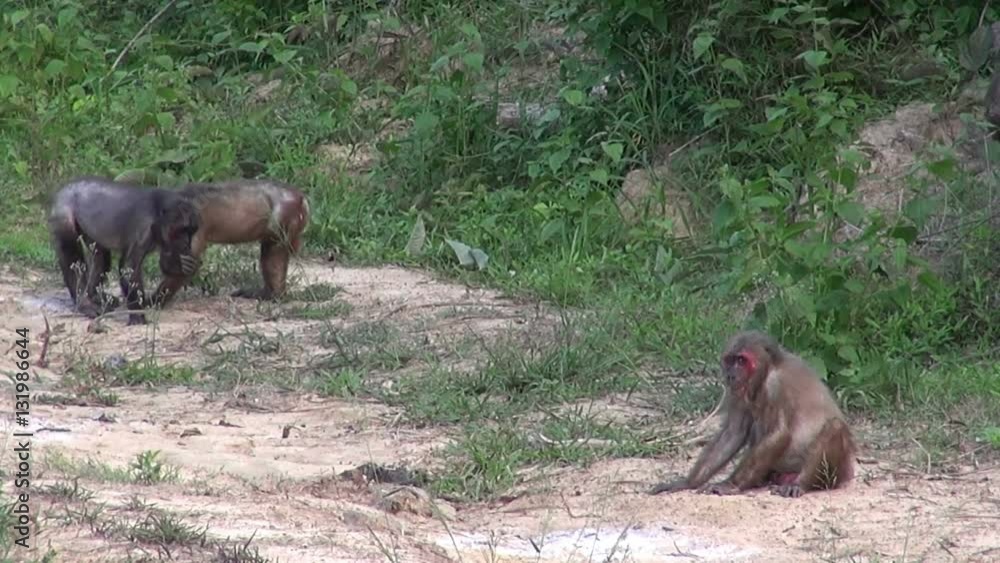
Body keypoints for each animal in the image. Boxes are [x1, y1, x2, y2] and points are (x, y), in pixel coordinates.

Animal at [48, 176, 200, 326]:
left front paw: (182, 264)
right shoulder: (143, 228)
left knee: (102, 259)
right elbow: (129, 269)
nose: (187, 242)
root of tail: (63, 189)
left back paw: (96, 296)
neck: (158, 213)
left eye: (191, 231)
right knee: (72, 260)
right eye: (181, 230)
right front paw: (137, 316)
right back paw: (85, 304)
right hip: (63, 214)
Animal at [650, 330, 856, 498]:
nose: (731, 375)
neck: (768, 370)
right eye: (730, 360)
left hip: (836, 473)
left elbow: (778, 434)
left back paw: (800, 483)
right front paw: (688, 482)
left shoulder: (775, 385)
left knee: (834, 427)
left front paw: (729, 484)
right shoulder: (738, 390)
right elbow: (734, 432)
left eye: (742, 361)